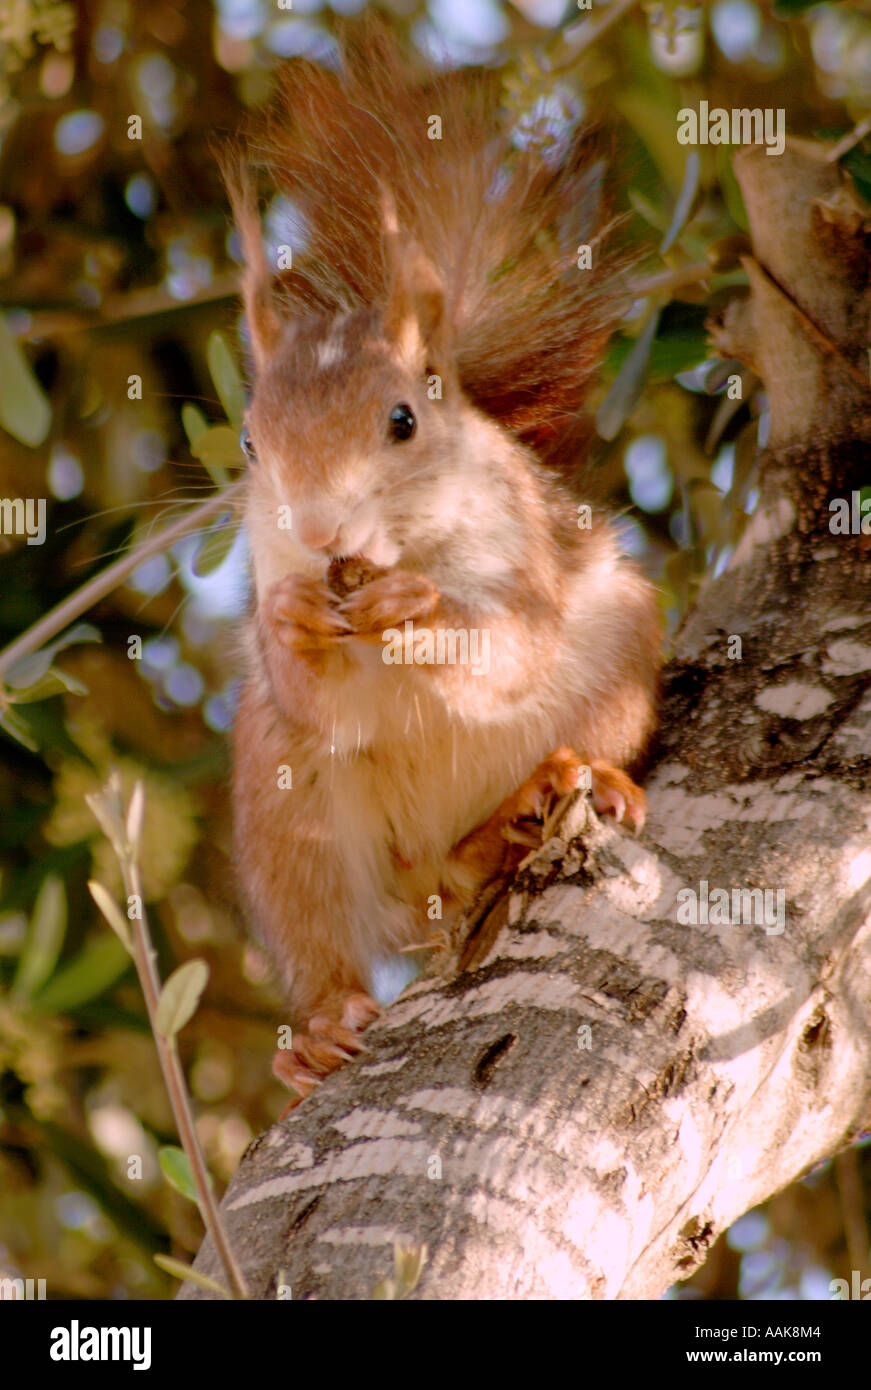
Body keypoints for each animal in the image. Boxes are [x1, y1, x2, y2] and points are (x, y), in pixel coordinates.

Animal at [223, 21, 663, 1106]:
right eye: (250, 443)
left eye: (402, 421)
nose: (322, 531)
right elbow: (311, 684)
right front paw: (295, 626)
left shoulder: (522, 553)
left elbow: (509, 642)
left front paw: (418, 612)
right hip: (284, 806)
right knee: (329, 924)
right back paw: (323, 1026)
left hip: (615, 661)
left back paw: (549, 792)